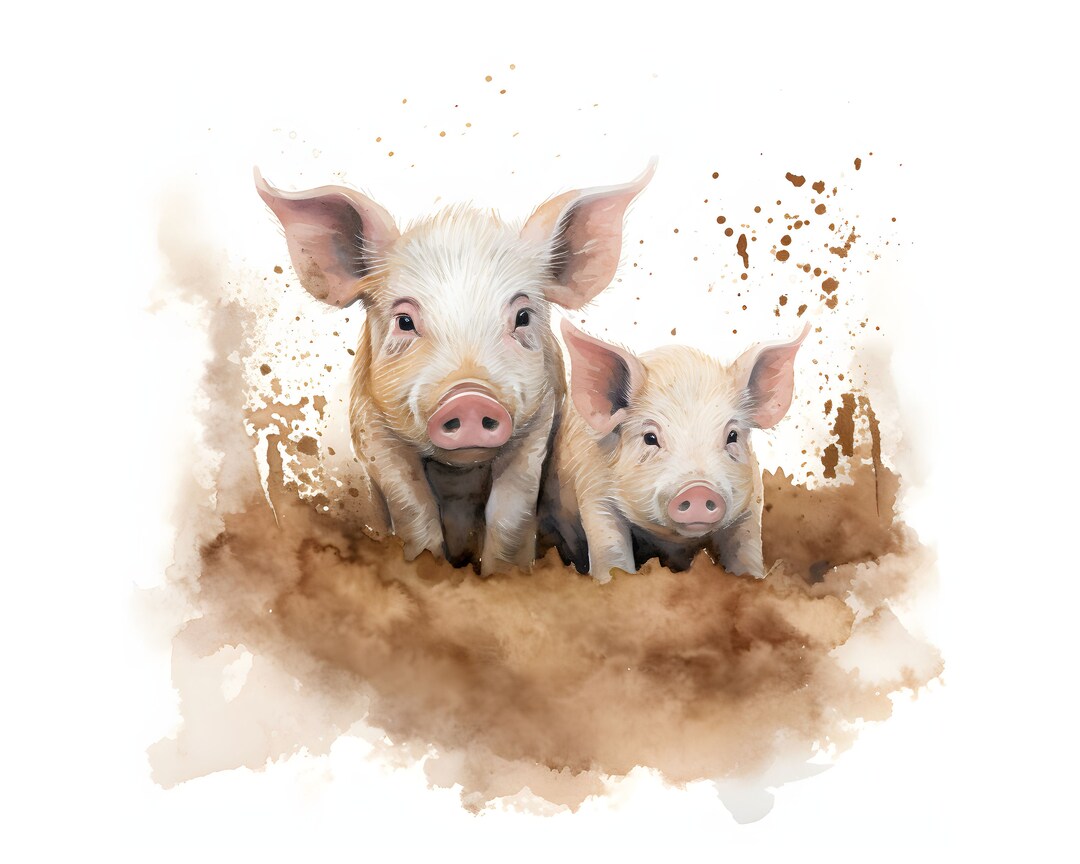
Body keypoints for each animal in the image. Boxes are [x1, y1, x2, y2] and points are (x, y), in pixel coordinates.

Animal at [254, 162, 655, 574]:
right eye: (404, 321)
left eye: (523, 316)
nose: (470, 398)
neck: (459, 472)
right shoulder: (372, 430)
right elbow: (412, 506)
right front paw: (427, 567)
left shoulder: (538, 423)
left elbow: (510, 510)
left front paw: (504, 576)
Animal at [541, 319, 808, 582]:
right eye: (650, 438)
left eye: (732, 435)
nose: (699, 489)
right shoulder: (594, 493)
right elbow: (611, 552)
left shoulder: (751, 503)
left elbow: (746, 553)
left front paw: (752, 579)